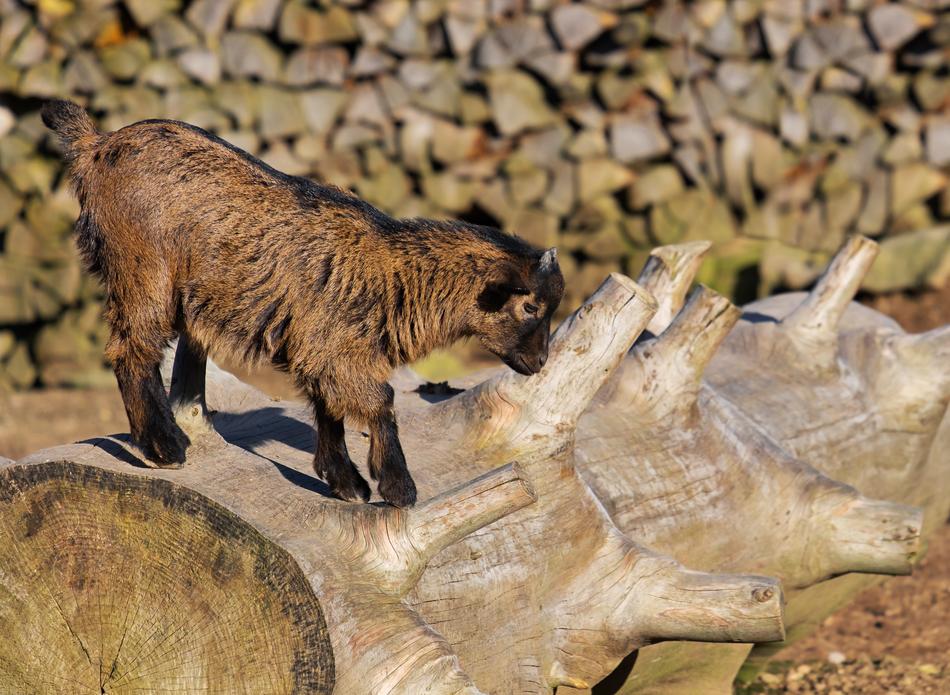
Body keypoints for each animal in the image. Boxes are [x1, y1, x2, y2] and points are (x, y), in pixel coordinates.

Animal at [42, 99, 564, 507]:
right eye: (530, 307)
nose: (540, 363)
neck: (391, 270)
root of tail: (95, 144)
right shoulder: (339, 348)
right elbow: (380, 401)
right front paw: (398, 488)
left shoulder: (318, 347)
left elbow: (328, 409)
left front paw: (346, 483)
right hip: (142, 269)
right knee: (131, 351)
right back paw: (164, 447)